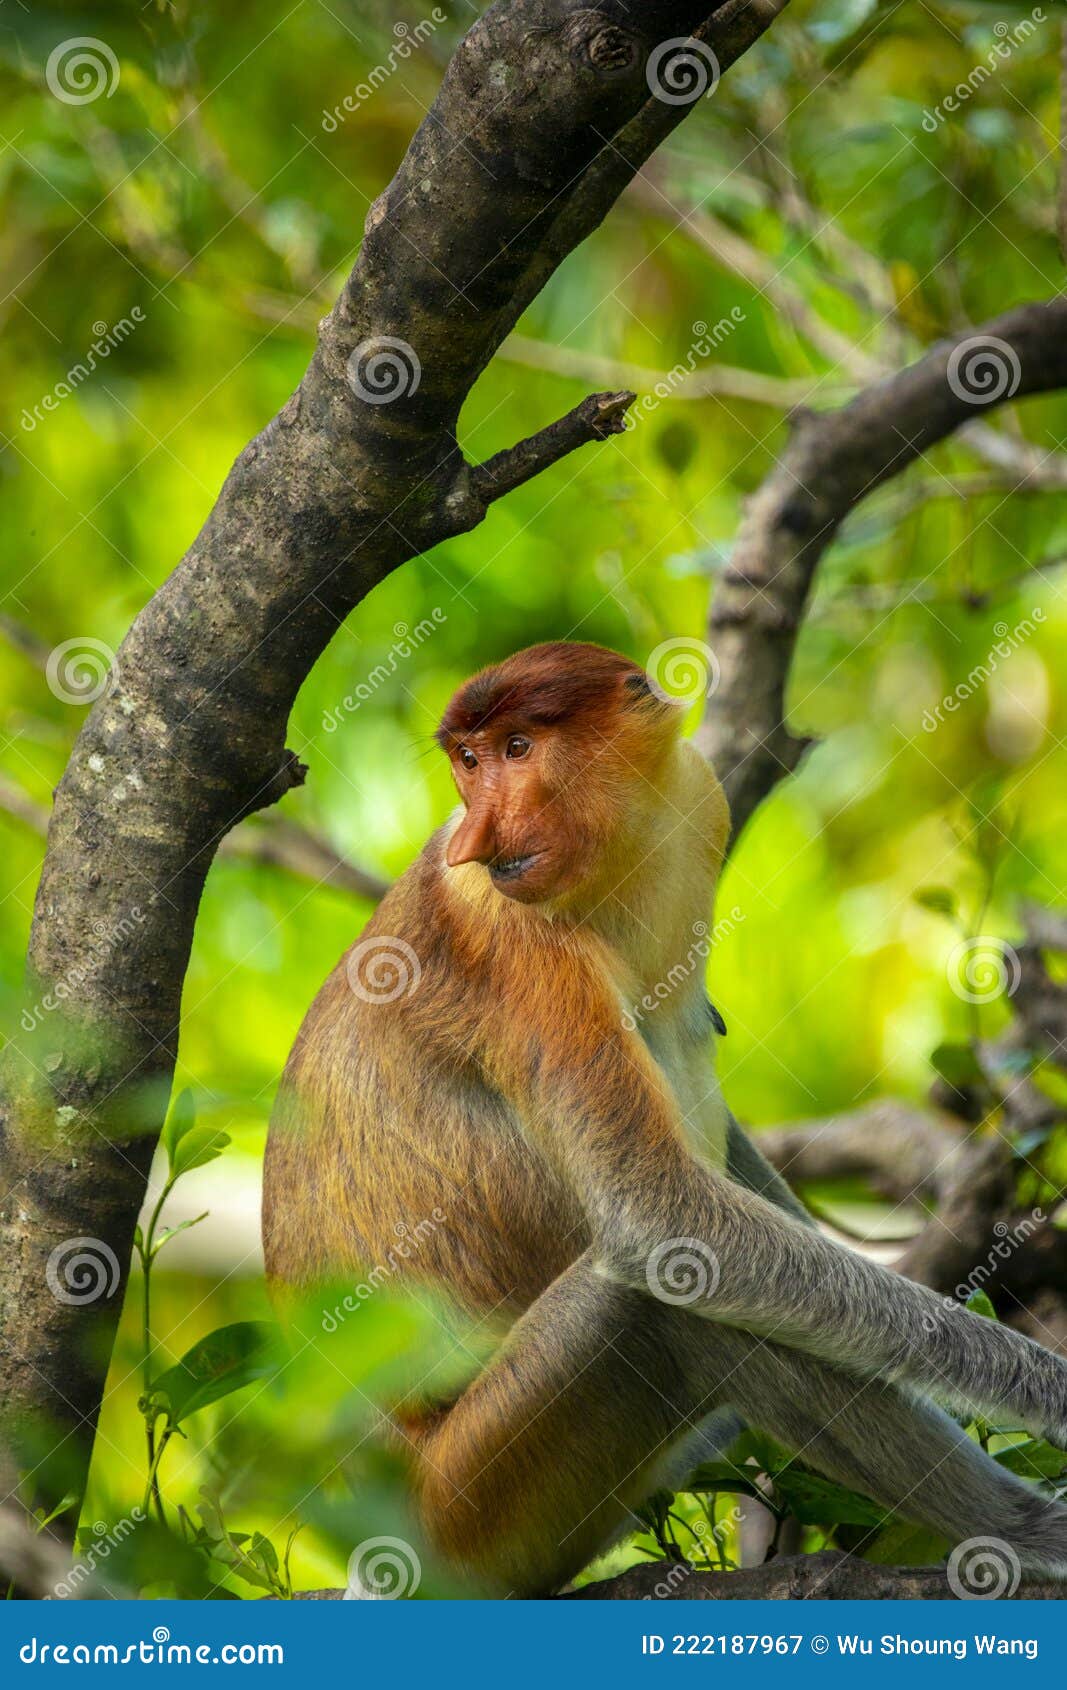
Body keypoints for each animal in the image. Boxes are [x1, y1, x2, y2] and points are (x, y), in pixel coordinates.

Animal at [263, 640, 1067, 1596]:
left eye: (515, 749)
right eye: (468, 760)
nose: (473, 840)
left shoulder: (696, 806)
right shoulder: (519, 944)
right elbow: (661, 1218)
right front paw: (1048, 1391)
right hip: (465, 1508)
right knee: (658, 1303)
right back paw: (1030, 1537)